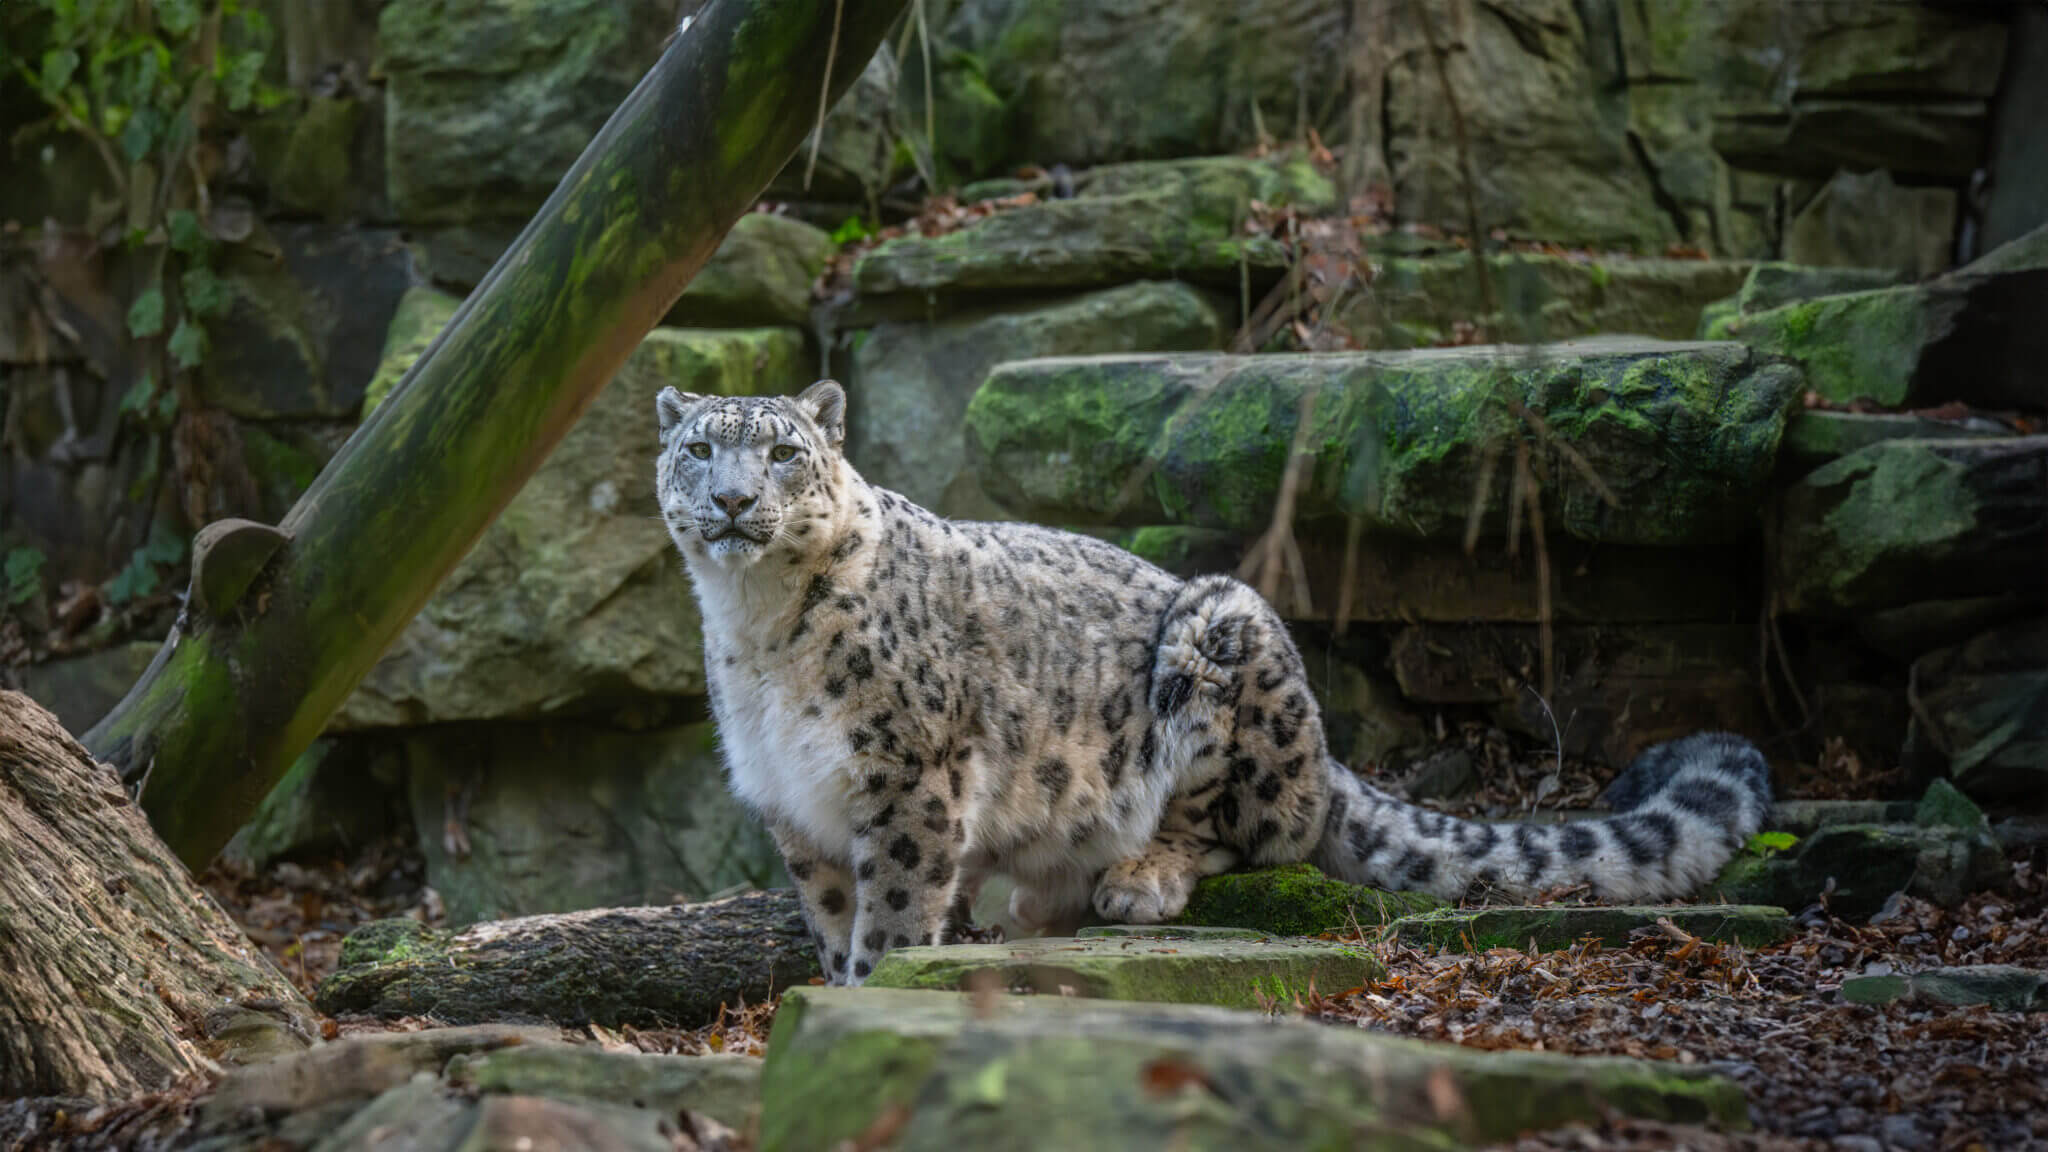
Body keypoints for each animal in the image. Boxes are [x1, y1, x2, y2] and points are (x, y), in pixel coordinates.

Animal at [653, 379, 1773, 986]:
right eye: (699, 447)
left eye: (782, 451)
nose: (732, 501)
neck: (759, 630)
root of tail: (1329, 755)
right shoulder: (796, 804)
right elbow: (833, 914)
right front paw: (837, 976)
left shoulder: (908, 779)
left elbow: (891, 911)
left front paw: (870, 987)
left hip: (1219, 644)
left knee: (1248, 829)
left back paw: (1134, 876)